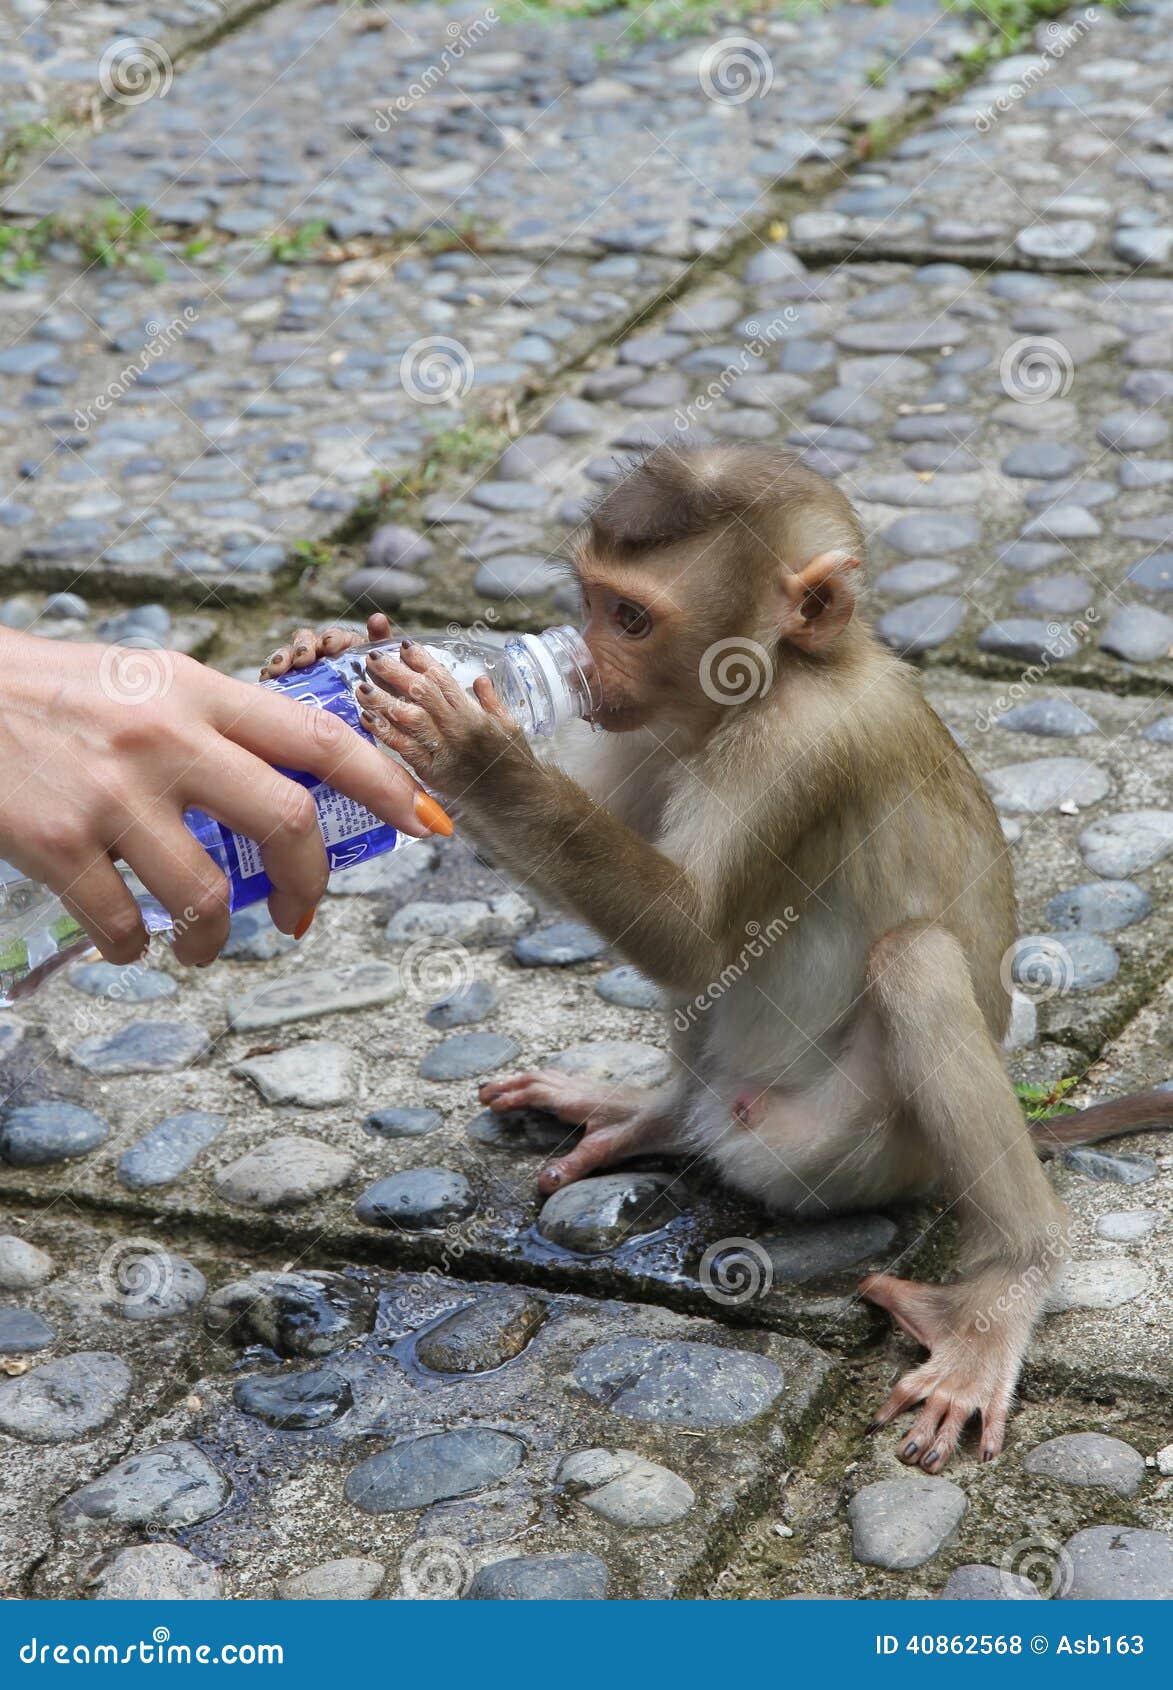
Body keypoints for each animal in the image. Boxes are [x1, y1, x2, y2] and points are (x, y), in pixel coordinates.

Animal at [267, 443, 1173, 1471]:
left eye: (629, 617)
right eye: (590, 601)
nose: (582, 656)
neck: (783, 677)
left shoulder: (796, 746)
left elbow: (689, 936)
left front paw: (470, 742)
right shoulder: (656, 723)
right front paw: (325, 653)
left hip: (840, 1148)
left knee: (913, 962)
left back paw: (1003, 1294)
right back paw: (654, 1112)